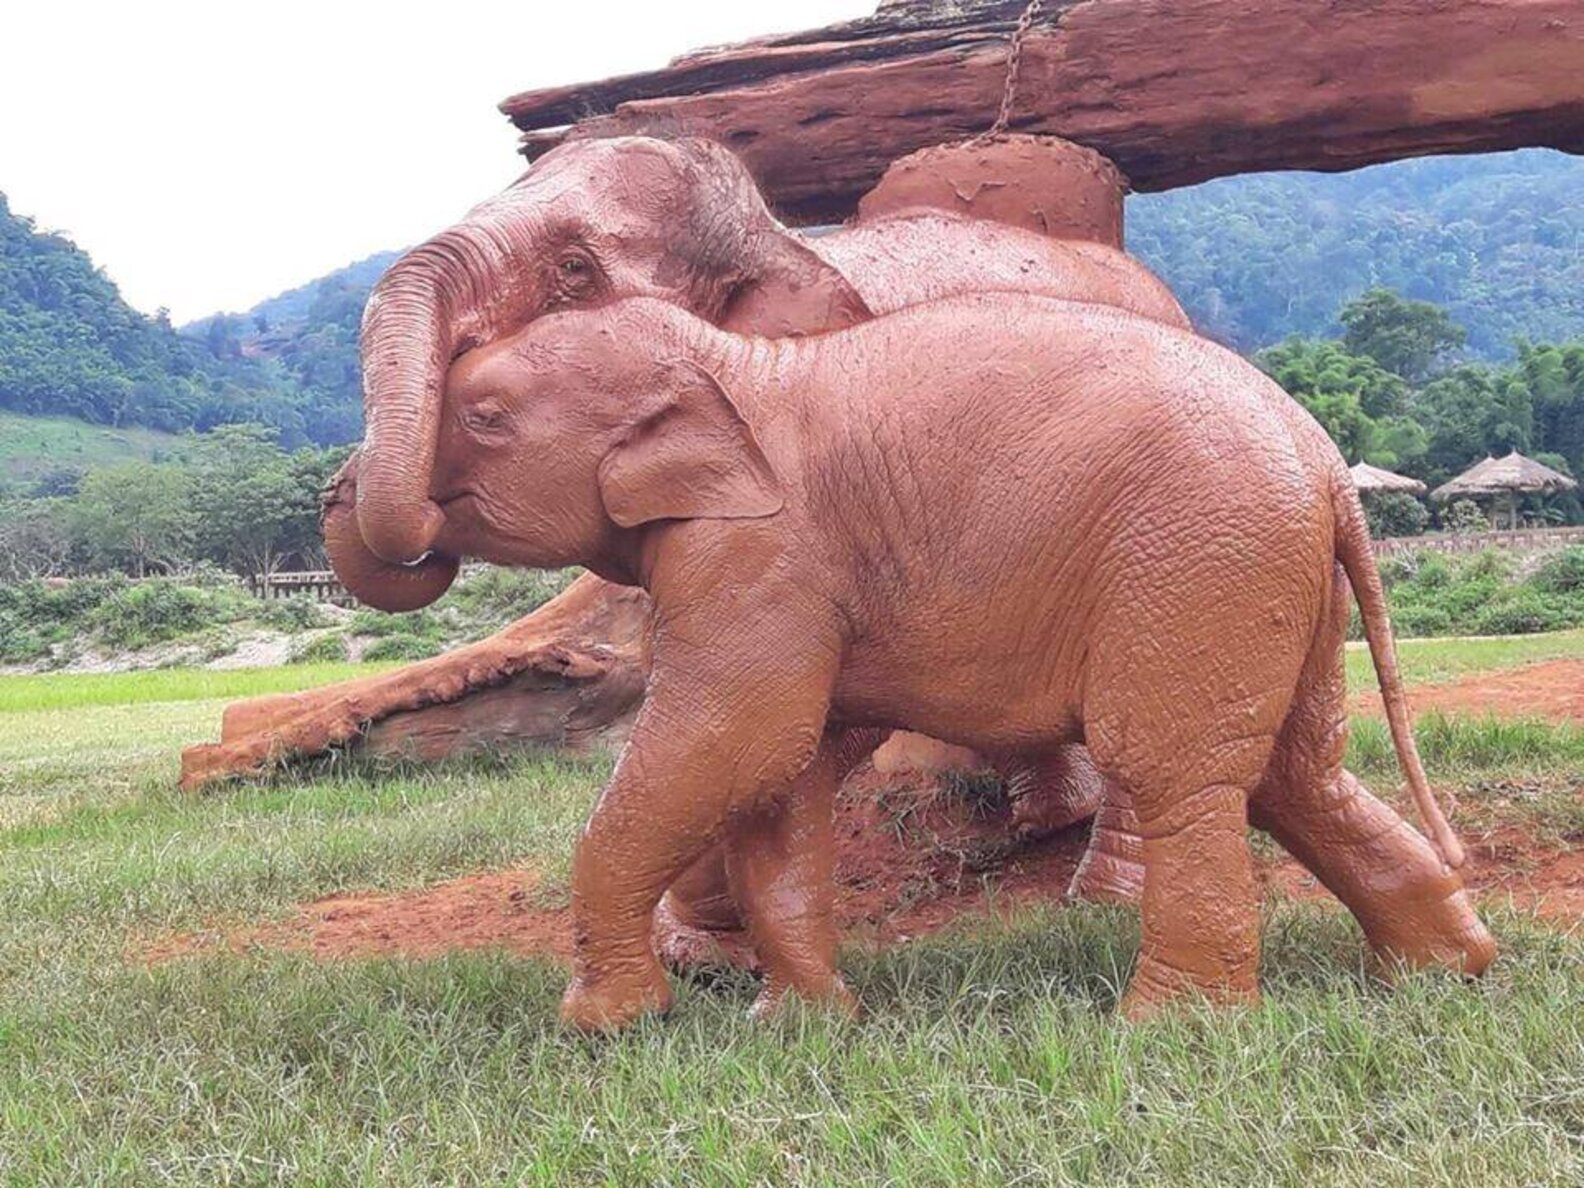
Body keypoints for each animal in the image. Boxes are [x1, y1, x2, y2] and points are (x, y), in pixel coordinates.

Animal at [324, 133, 1191, 959]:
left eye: (573, 269)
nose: (343, 489)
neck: (780, 239)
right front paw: (698, 945)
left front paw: (705, 941)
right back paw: (1046, 818)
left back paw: (1101, 895)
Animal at [395, 291, 1494, 1031]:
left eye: (486, 417)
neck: (735, 362)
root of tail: (1327, 463)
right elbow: (784, 772)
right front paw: (801, 1029)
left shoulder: (758, 557)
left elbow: (737, 742)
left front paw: (610, 1027)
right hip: (1267, 575)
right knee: (1295, 773)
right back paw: (1446, 974)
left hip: (1204, 554)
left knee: (1178, 772)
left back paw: (1168, 1031)